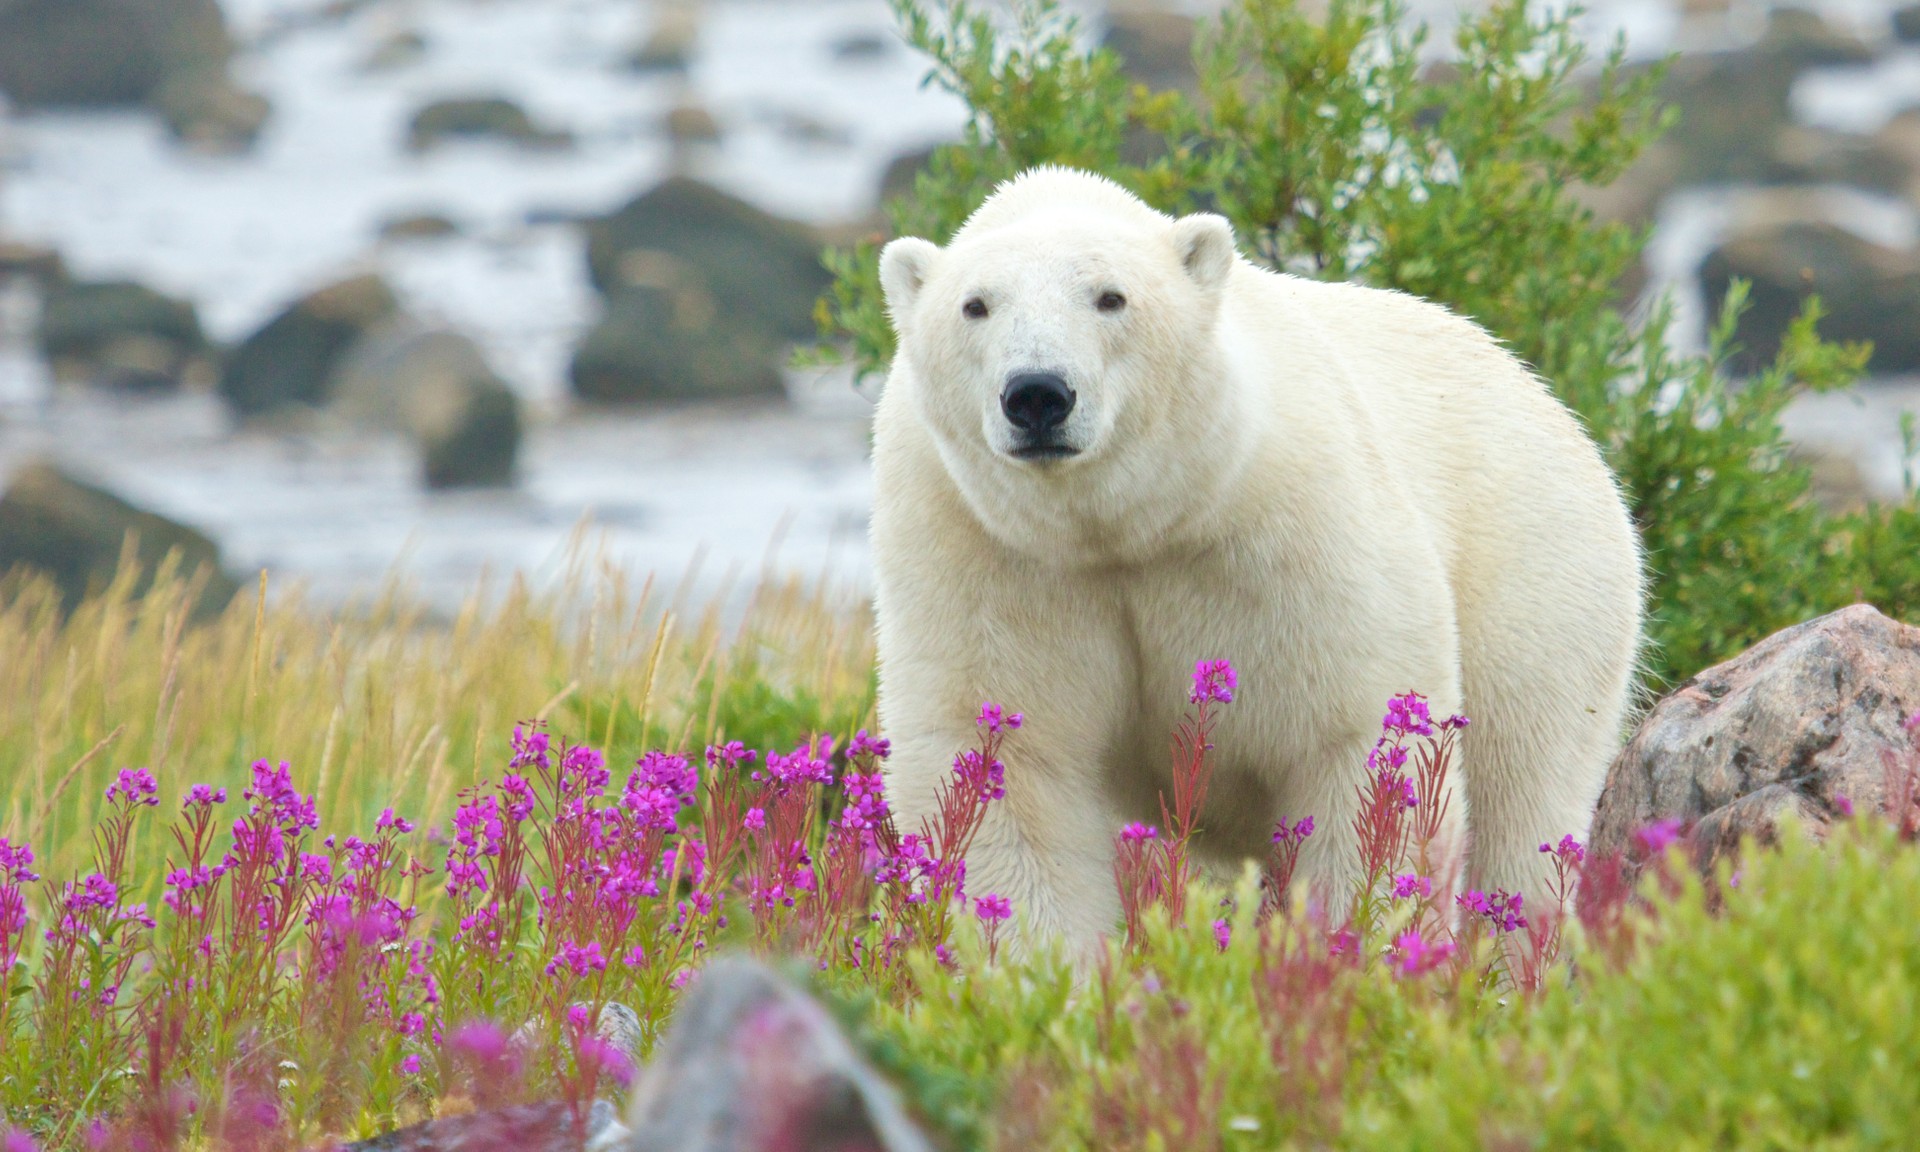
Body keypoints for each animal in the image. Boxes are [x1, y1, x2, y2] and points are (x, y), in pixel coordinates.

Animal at [869, 166, 1643, 952]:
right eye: (975, 305)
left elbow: (1350, 738)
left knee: (1525, 791)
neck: (1123, 527)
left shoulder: (1288, 525)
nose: (1037, 393)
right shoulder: (987, 554)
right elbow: (1012, 766)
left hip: (1536, 570)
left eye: (1111, 296)